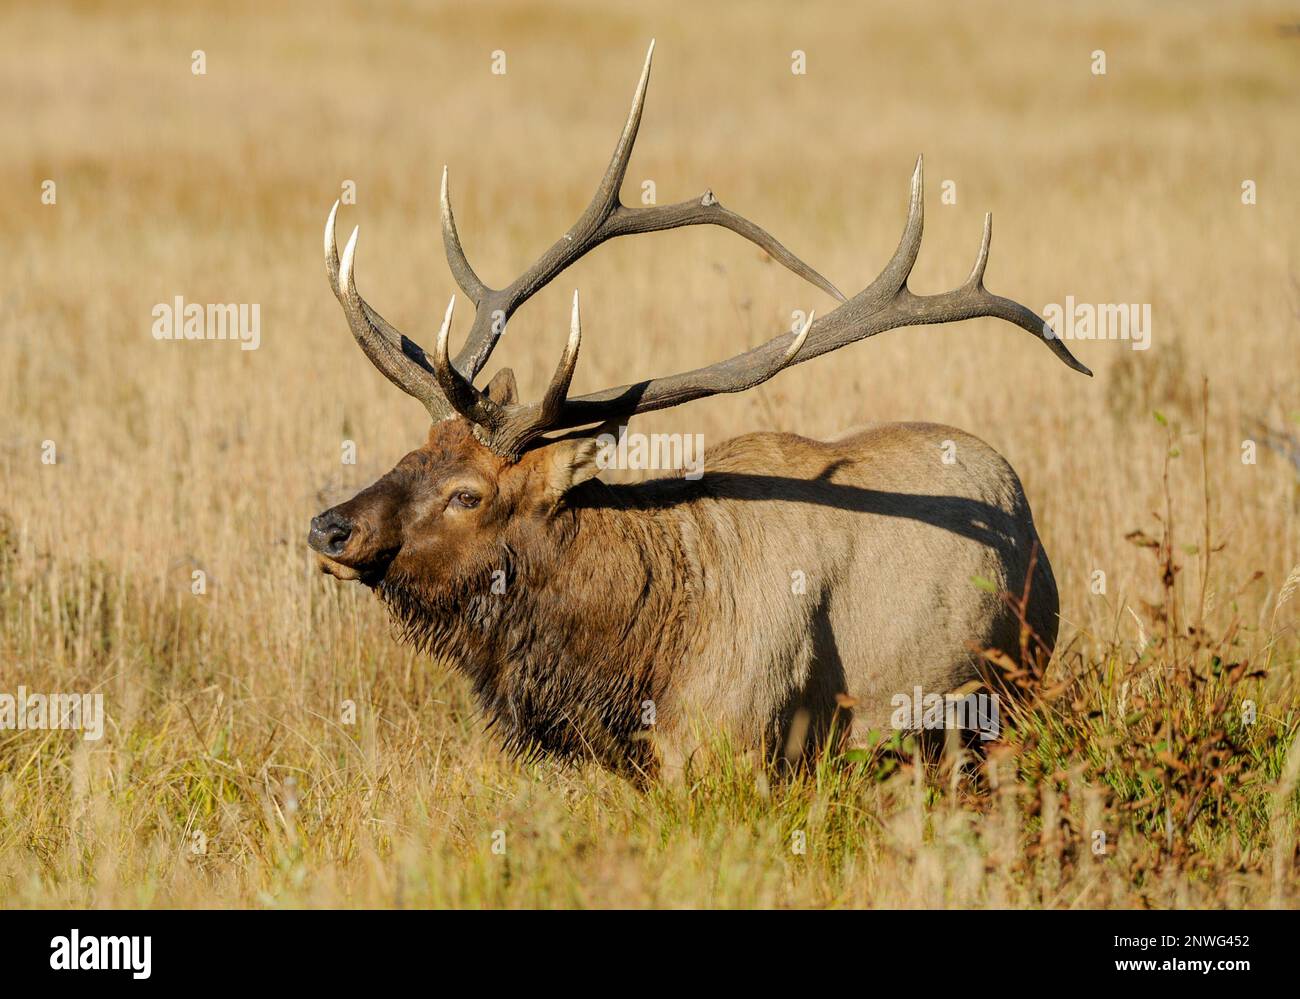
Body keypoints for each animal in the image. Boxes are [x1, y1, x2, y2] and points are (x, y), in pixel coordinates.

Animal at [308, 42, 1091, 779]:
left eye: (467, 494)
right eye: (411, 454)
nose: (329, 526)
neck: (635, 663)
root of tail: (1017, 496)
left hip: (1013, 687)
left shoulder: (736, 745)